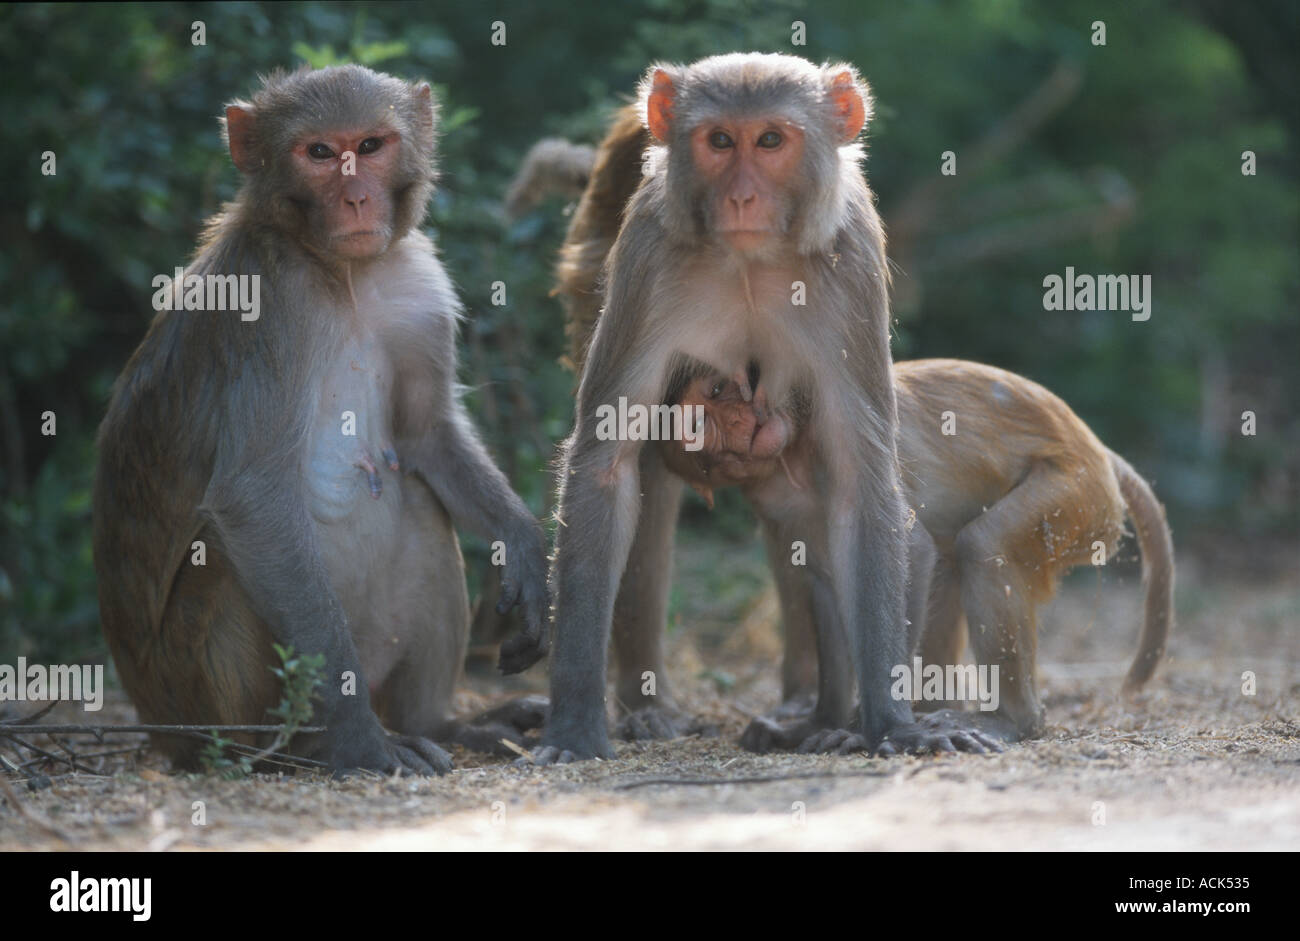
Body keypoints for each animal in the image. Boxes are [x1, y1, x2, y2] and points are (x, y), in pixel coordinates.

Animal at [93, 65, 550, 775]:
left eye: (369, 146)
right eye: (317, 153)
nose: (357, 198)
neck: (342, 274)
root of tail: (160, 729)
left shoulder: (417, 281)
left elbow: (427, 436)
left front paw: (524, 545)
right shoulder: (265, 302)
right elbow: (252, 497)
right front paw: (360, 742)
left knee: (420, 498)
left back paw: (443, 724)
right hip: (200, 705)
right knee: (224, 561)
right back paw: (310, 747)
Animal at [526, 53, 1000, 764]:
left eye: (771, 140)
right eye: (720, 141)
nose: (742, 198)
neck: (750, 261)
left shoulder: (850, 262)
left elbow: (859, 479)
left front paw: (894, 723)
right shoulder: (646, 255)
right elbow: (606, 463)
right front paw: (575, 723)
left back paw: (804, 706)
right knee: (652, 482)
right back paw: (649, 705)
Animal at [658, 360, 1175, 747]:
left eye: (719, 390)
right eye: (703, 422)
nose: (743, 417)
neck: (791, 461)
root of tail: (1098, 451)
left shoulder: (840, 451)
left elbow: (911, 552)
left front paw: (862, 728)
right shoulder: (780, 507)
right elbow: (828, 584)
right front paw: (819, 722)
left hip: (1075, 494)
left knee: (983, 546)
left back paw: (1010, 721)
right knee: (950, 568)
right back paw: (940, 709)